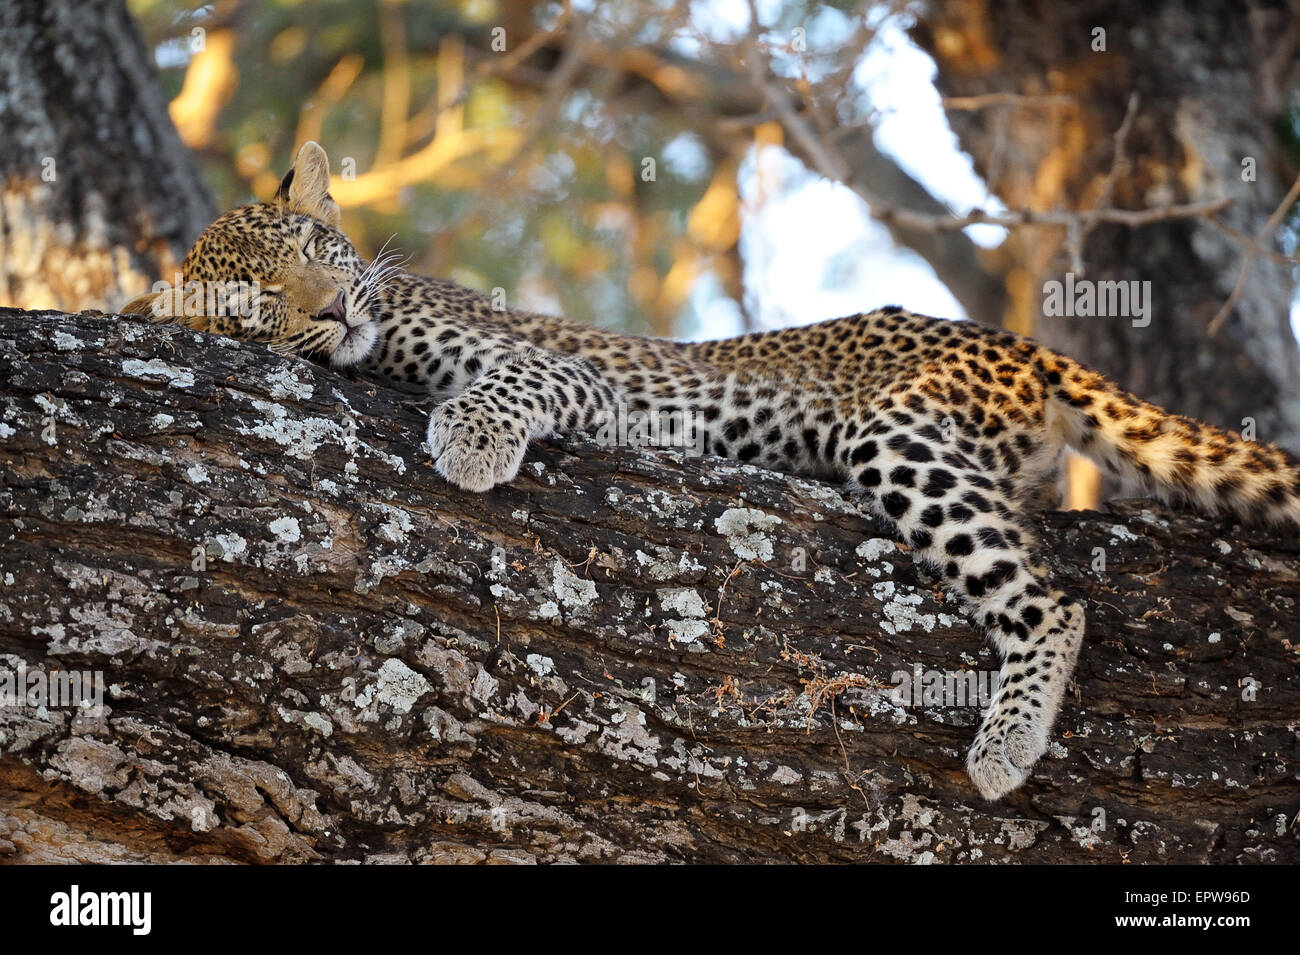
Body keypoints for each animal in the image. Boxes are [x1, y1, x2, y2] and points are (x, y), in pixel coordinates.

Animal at [123, 141, 1300, 801]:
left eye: (317, 246)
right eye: (258, 298)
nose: (332, 307)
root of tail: (1007, 340)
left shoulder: (569, 372)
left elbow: (507, 383)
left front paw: (472, 441)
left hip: (897, 427)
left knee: (1052, 601)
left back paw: (1007, 738)